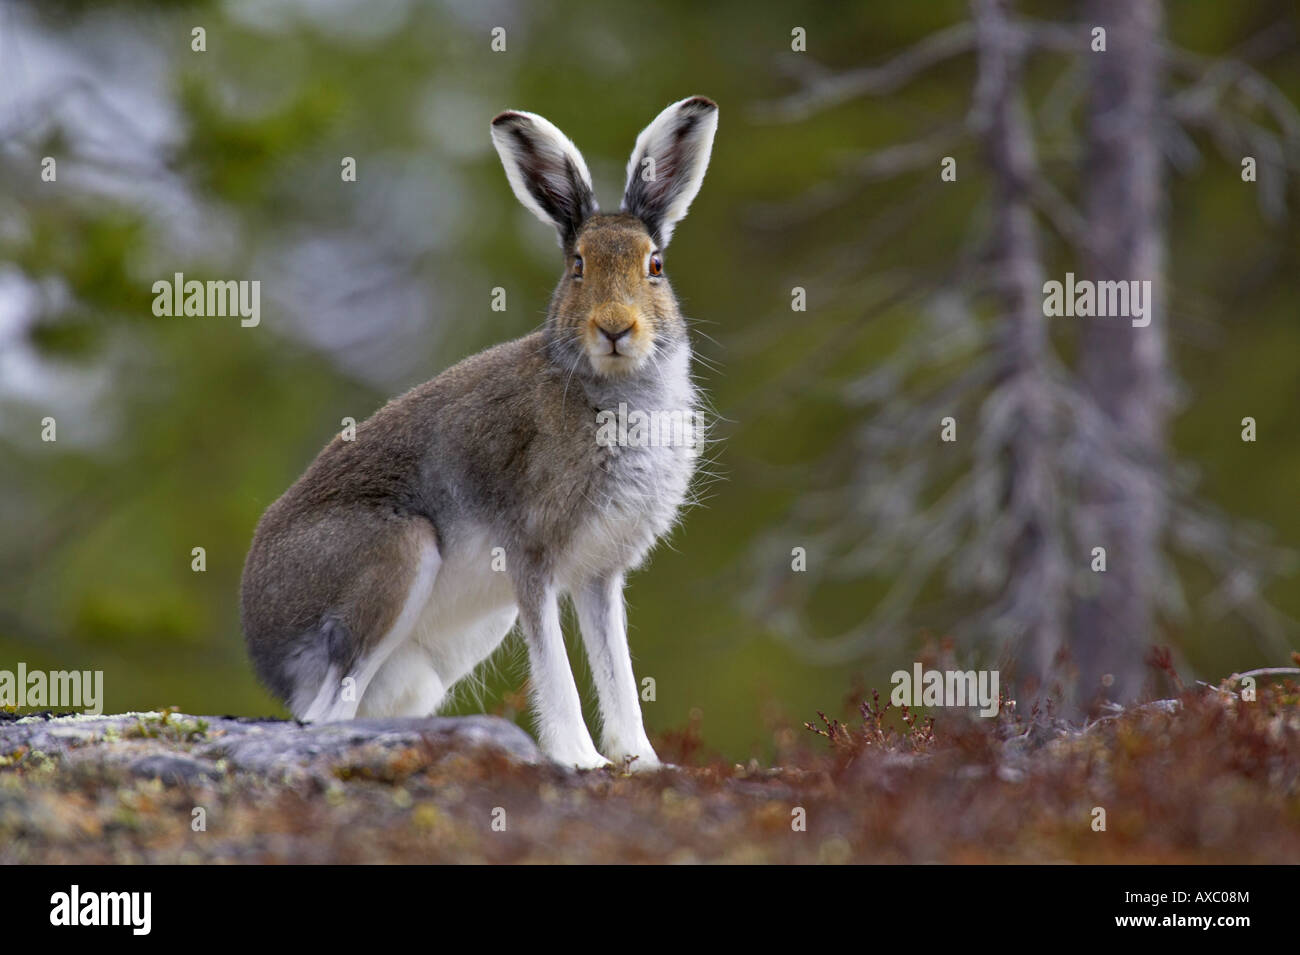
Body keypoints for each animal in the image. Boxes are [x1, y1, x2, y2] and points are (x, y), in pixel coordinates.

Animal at [240, 96, 718, 770]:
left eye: (655, 265)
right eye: (577, 266)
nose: (615, 328)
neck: (611, 385)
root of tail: (264, 649)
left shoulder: (599, 574)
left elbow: (618, 673)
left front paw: (641, 762)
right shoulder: (530, 553)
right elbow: (557, 672)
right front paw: (579, 761)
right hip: (398, 555)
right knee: (325, 714)